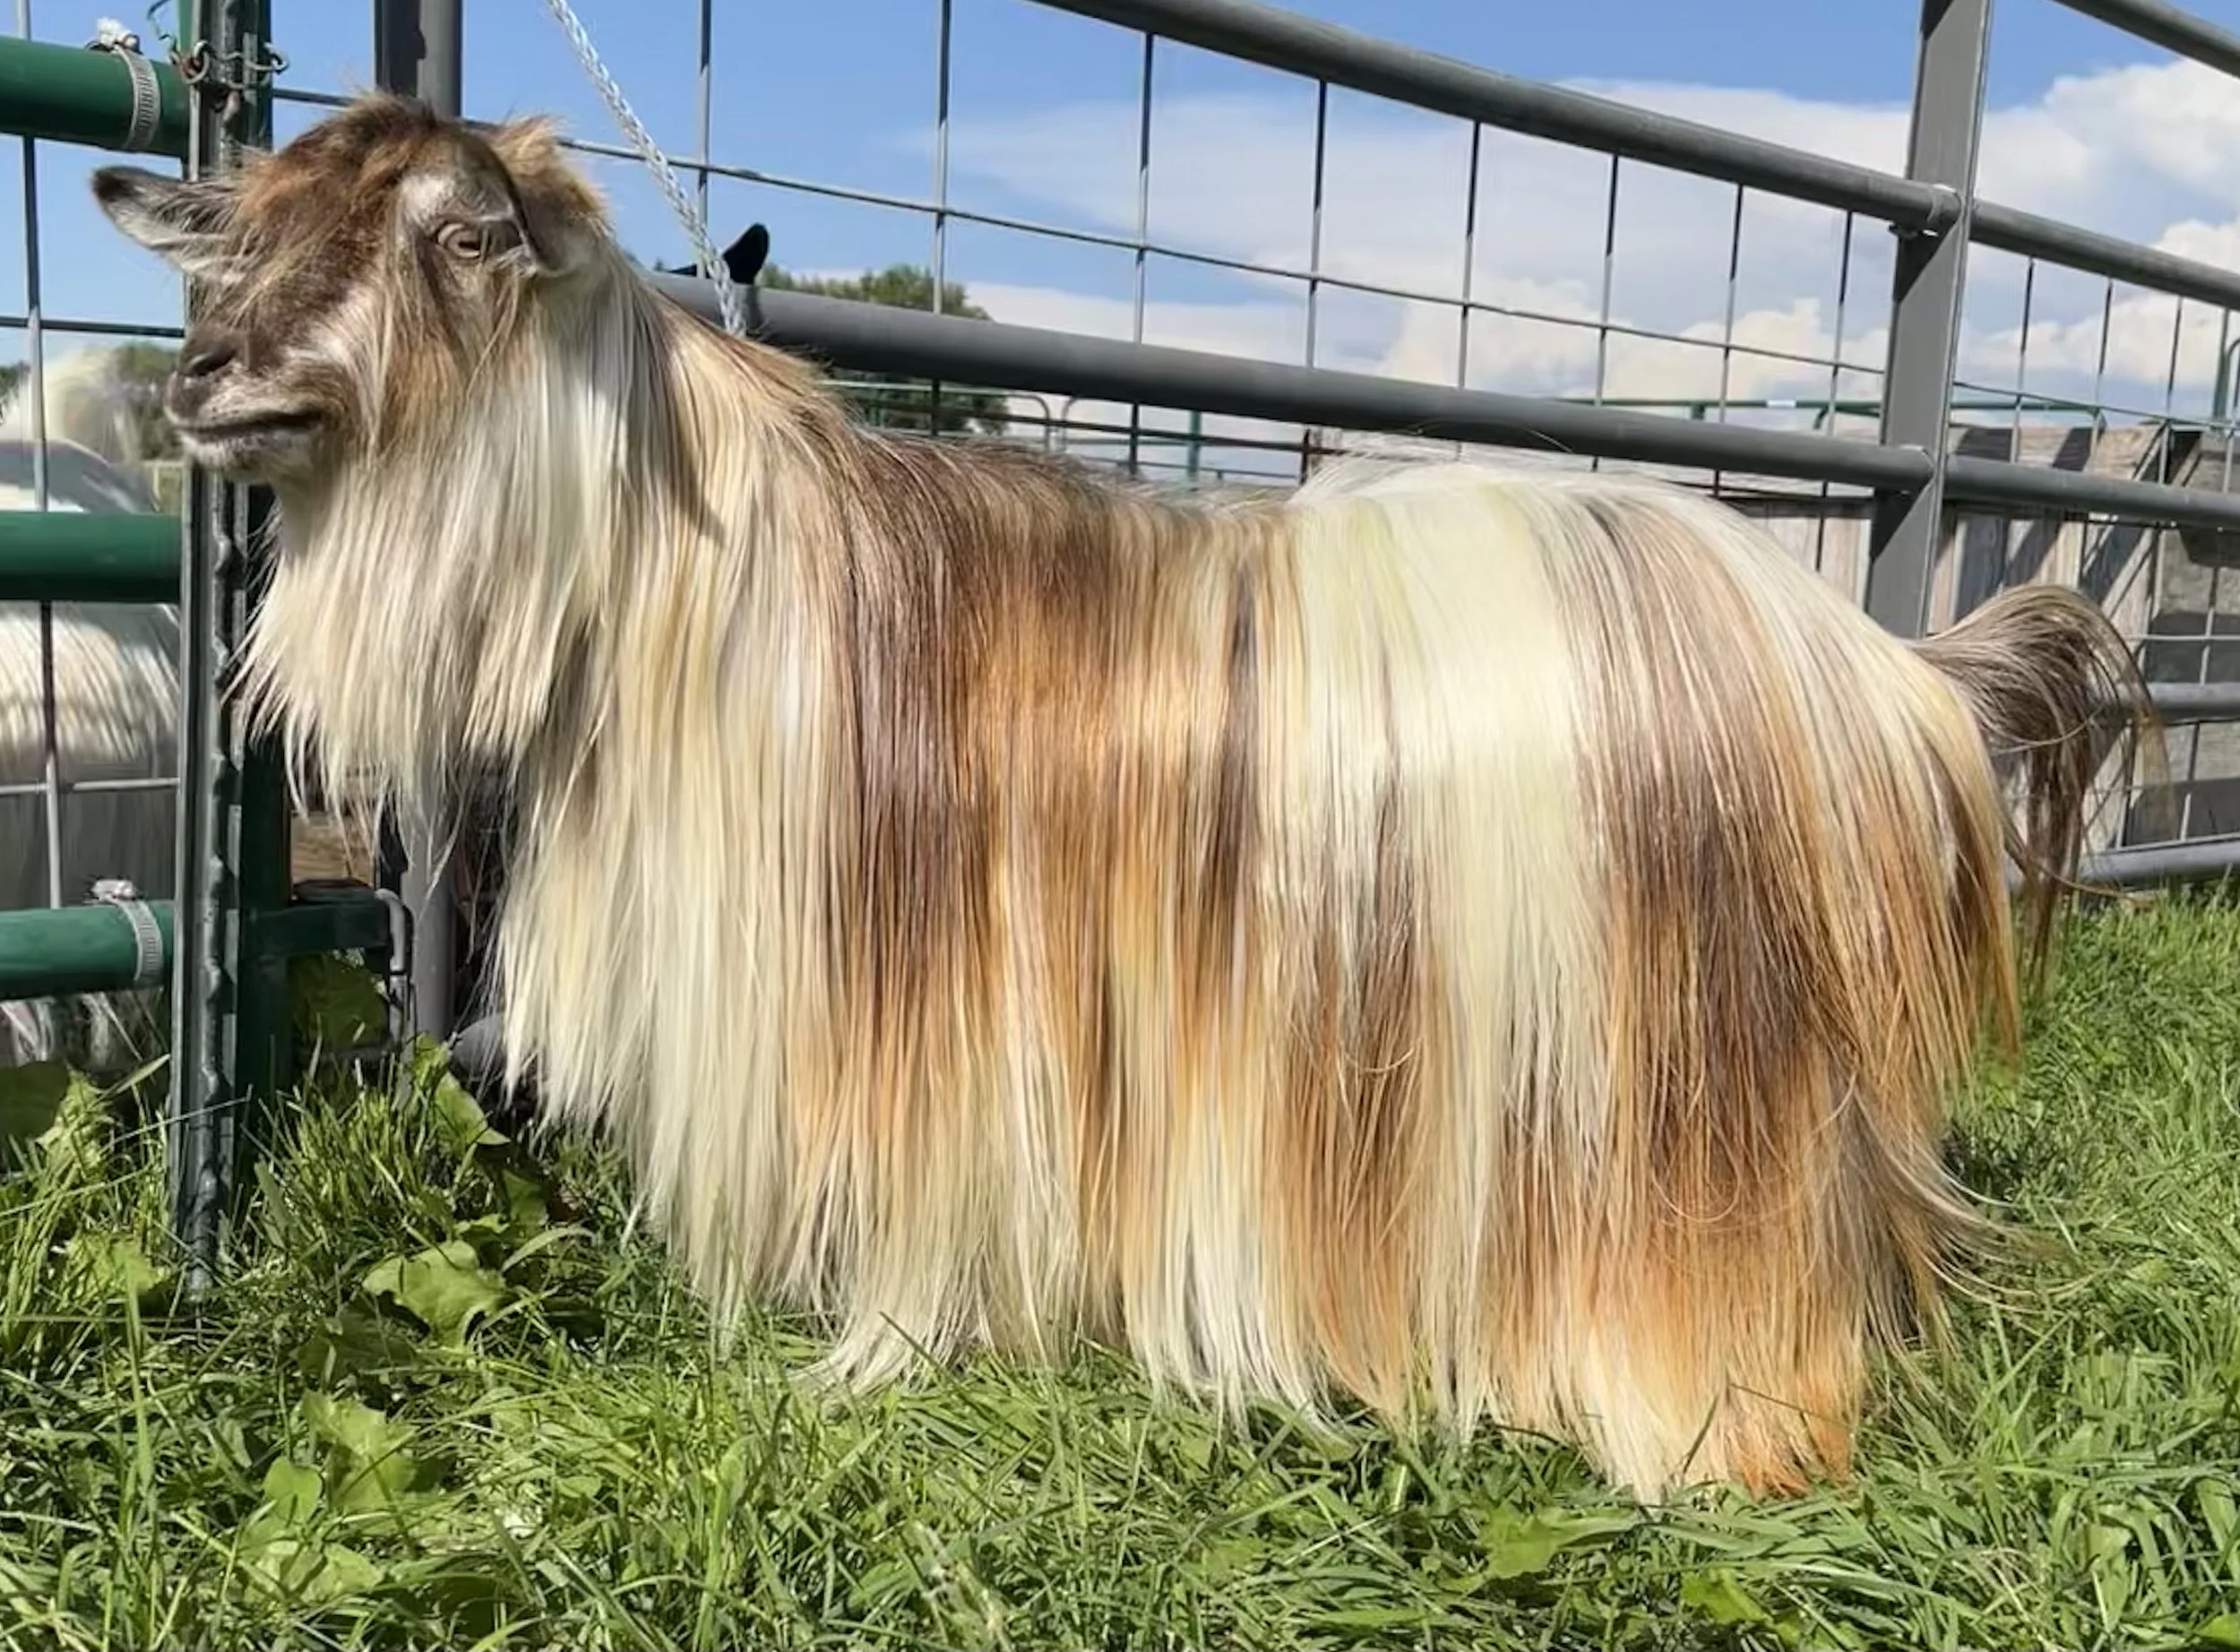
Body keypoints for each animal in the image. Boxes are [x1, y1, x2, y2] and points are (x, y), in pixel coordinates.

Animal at [90, 94, 2156, 1500]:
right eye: (238, 238)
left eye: (449, 237)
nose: (196, 379)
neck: (719, 590)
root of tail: (1876, 678)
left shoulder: (907, 1020)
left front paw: (871, 1366)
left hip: (1670, 1086)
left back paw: (1687, 1441)